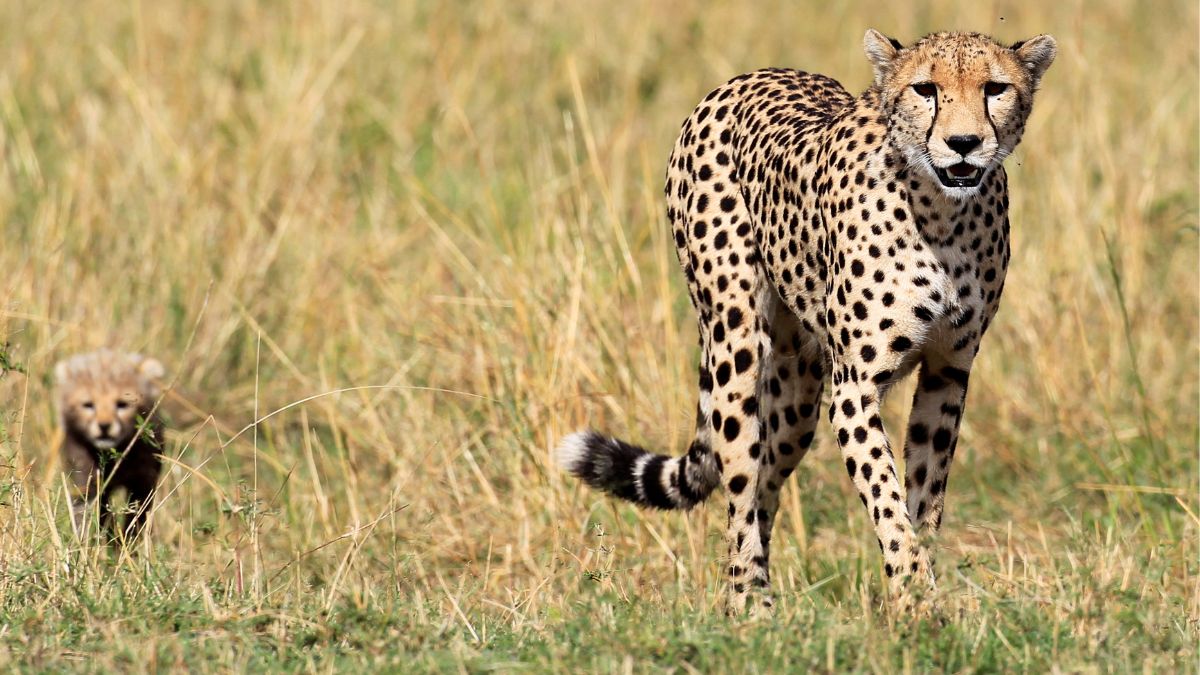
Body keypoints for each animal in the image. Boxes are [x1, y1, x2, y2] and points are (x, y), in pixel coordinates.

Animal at [55, 349, 167, 543]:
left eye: (122, 404)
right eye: (88, 405)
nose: (104, 426)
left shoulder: (143, 482)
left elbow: (136, 517)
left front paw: (130, 543)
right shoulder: (88, 481)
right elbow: (85, 514)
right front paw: (83, 544)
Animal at [557, 29, 1056, 616]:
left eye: (995, 88)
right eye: (925, 89)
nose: (963, 143)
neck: (942, 213)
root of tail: (745, 77)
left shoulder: (948, 371)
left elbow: (923, 500)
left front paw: (925, 596)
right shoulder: (855, 387)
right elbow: (888, 500)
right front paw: (914, 598)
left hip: (798, 393)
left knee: (767, 479)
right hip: (735, 345)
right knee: (740, 484)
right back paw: (749, 607)